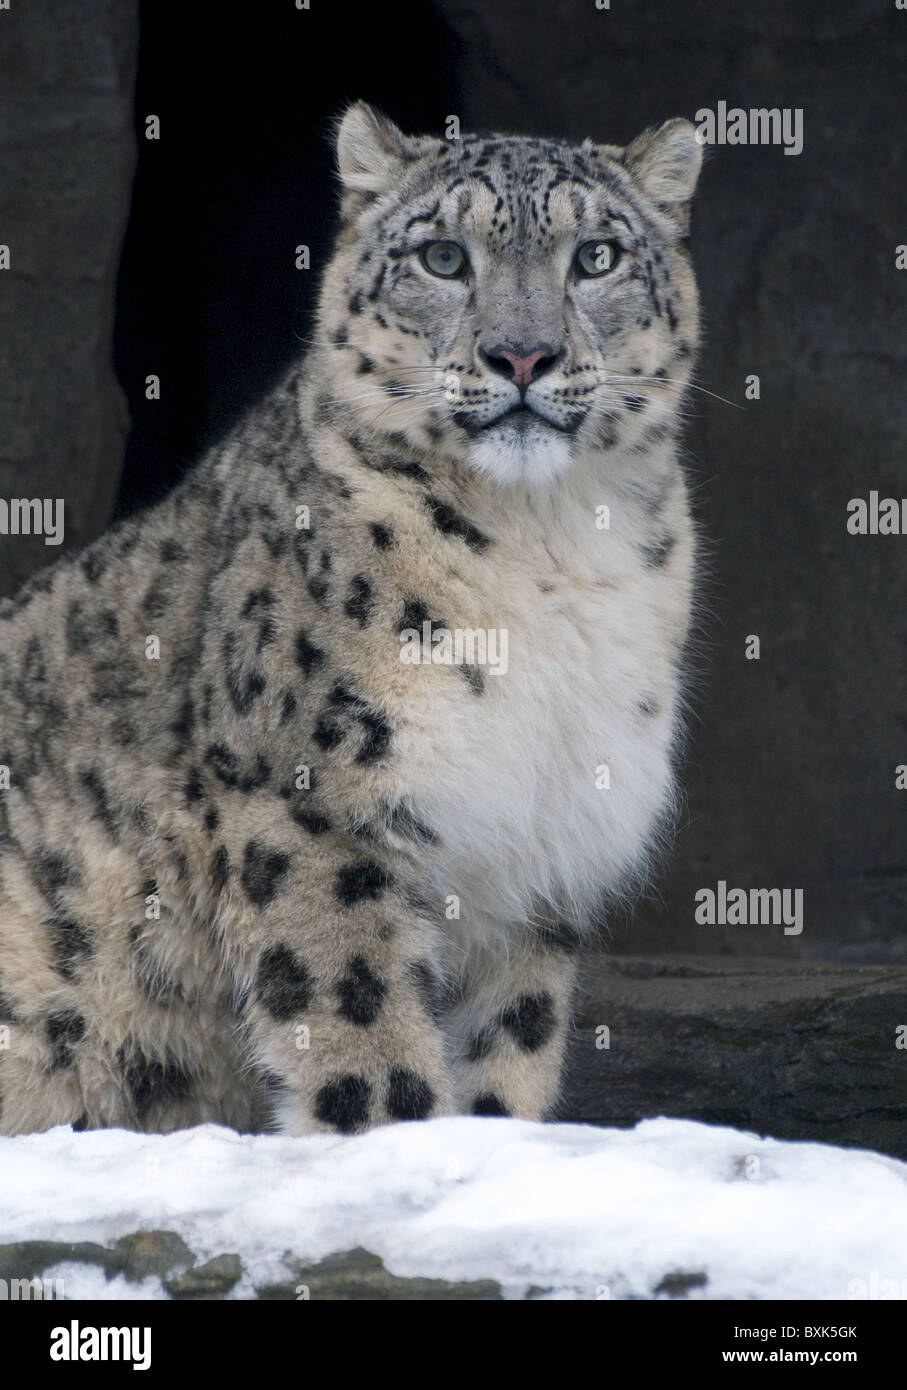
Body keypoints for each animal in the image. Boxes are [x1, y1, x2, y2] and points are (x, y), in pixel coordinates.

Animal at [0, 103, 703, 1136]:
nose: (522, 356)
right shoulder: (315, 798)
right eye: (444, 257)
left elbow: (510, 1045)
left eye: (597, 256)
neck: (547, 543)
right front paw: (393, 1136)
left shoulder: (539, 852)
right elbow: (360, 1018)